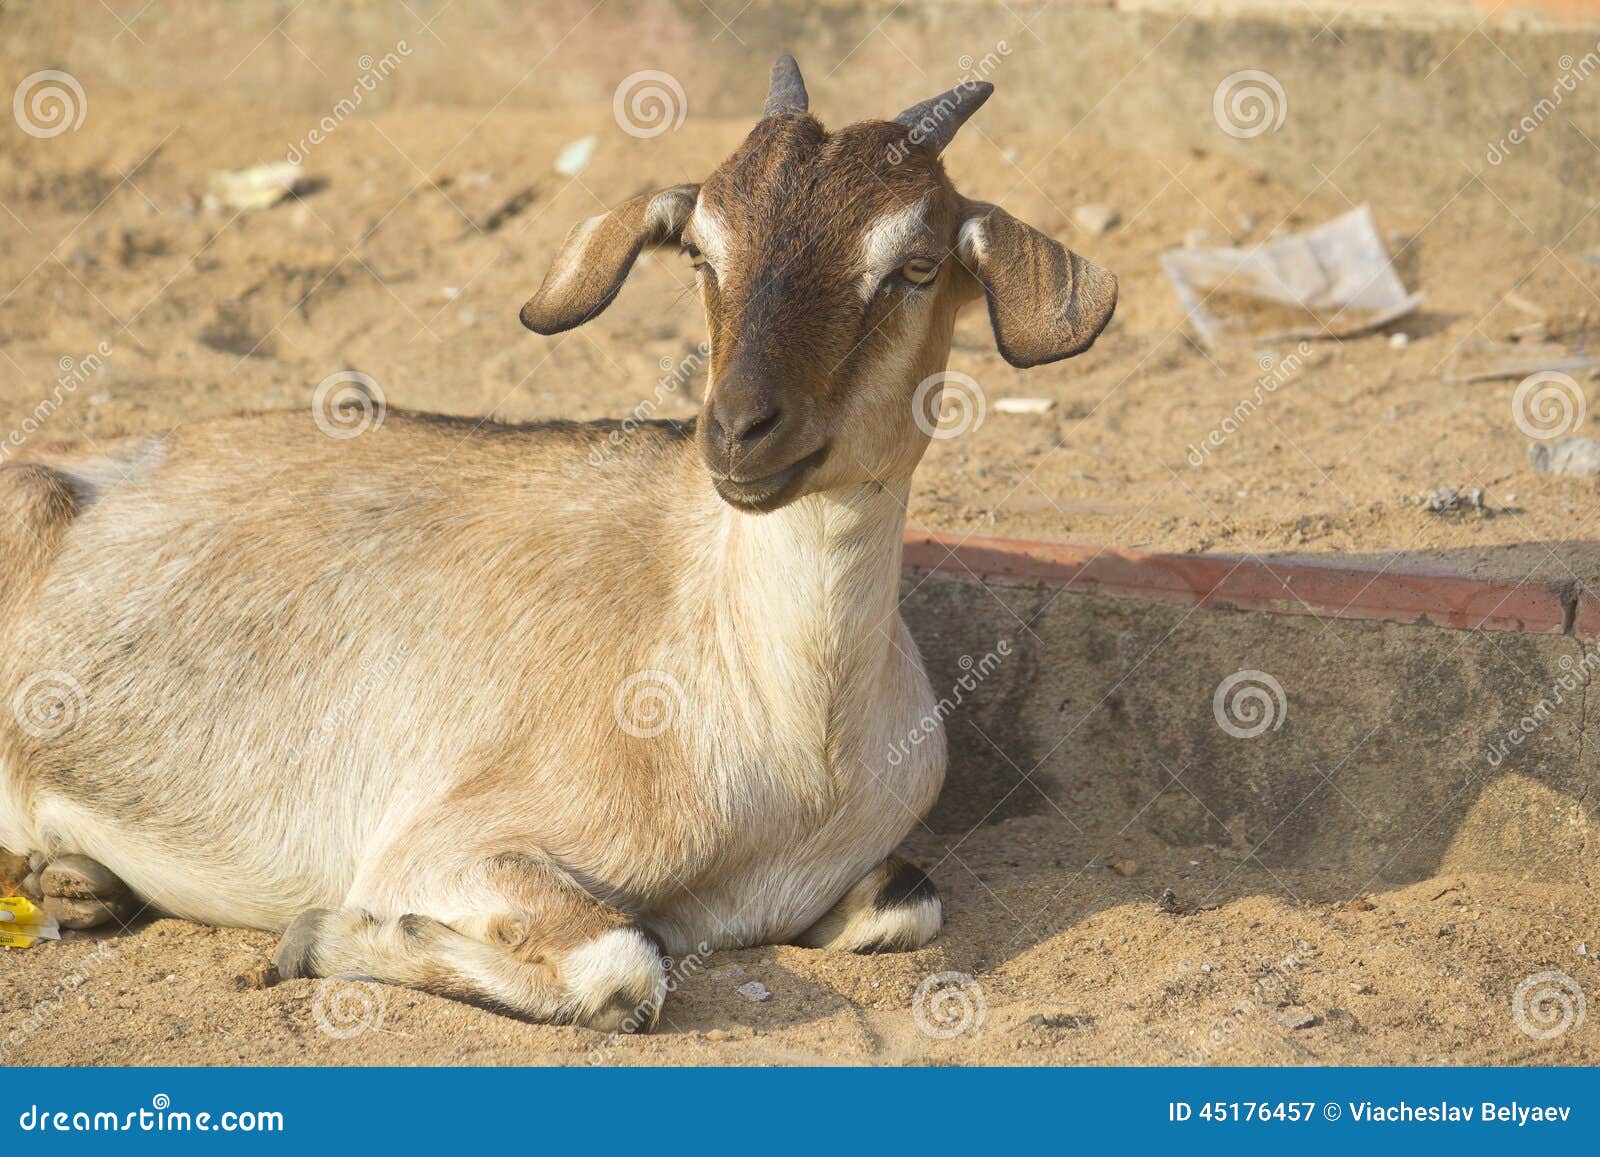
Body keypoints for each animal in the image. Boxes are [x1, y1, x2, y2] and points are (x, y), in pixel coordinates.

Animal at [0, 56, 1115, 1030]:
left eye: (914, 265)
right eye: (704, 252)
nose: (740, 432)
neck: (795, 733)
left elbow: (905, 903)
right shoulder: (442, 845)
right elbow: (625, 962)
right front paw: (325, 937)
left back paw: (78, 881)